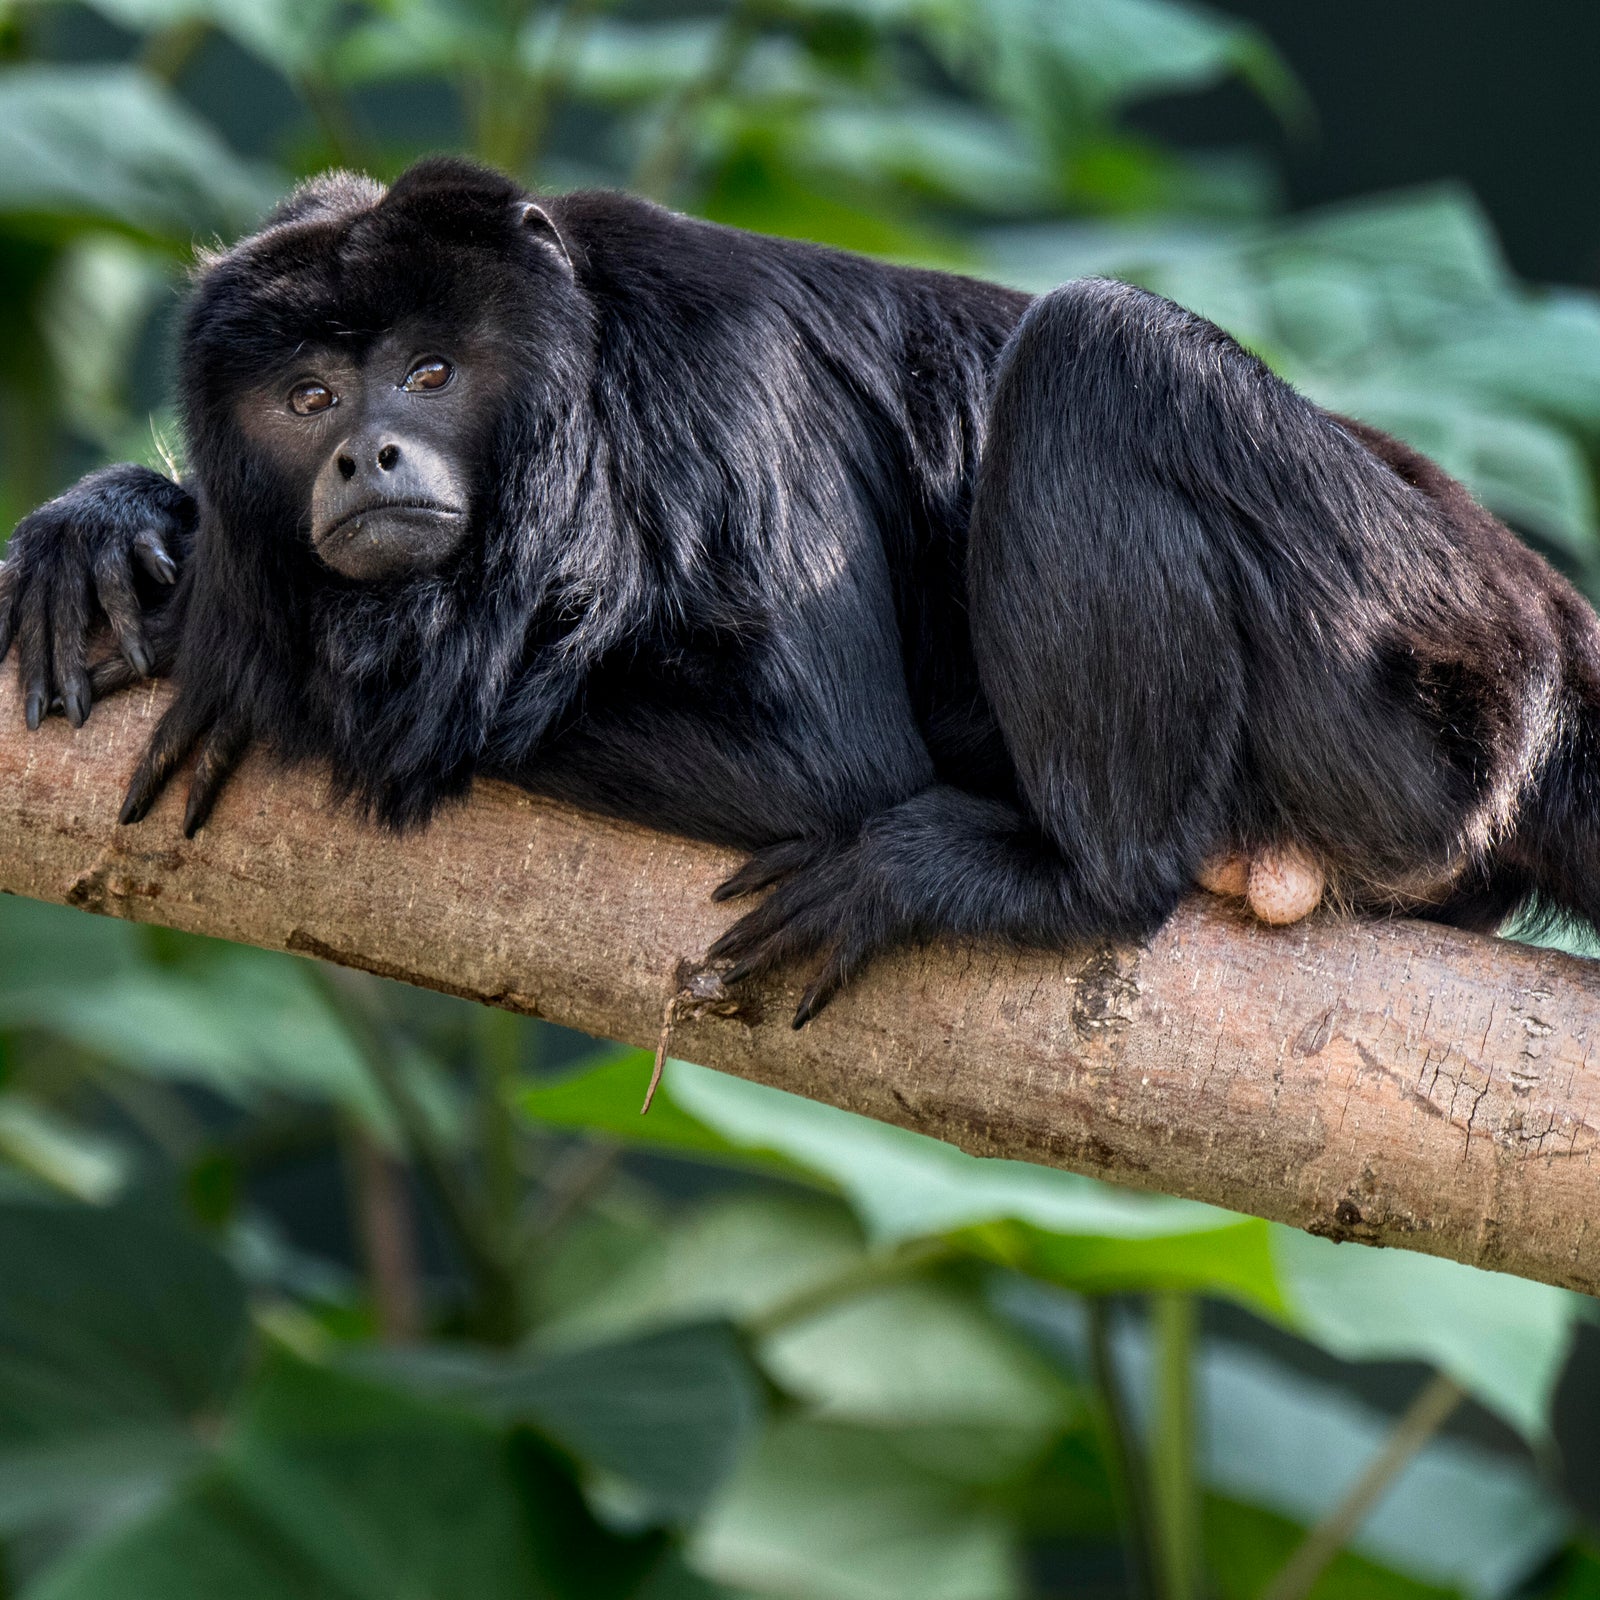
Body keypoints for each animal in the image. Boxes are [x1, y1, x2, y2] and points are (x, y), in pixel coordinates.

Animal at [3, 157, 1598, 1025]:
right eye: (310, 397)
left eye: (434, 373)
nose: (364, 453)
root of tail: (1543, 629)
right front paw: (114, 533)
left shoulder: (722, 380)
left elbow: (823, 757)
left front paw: (221, 639)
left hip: (1410, 687)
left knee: (1102, 349)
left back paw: (1070, 875)